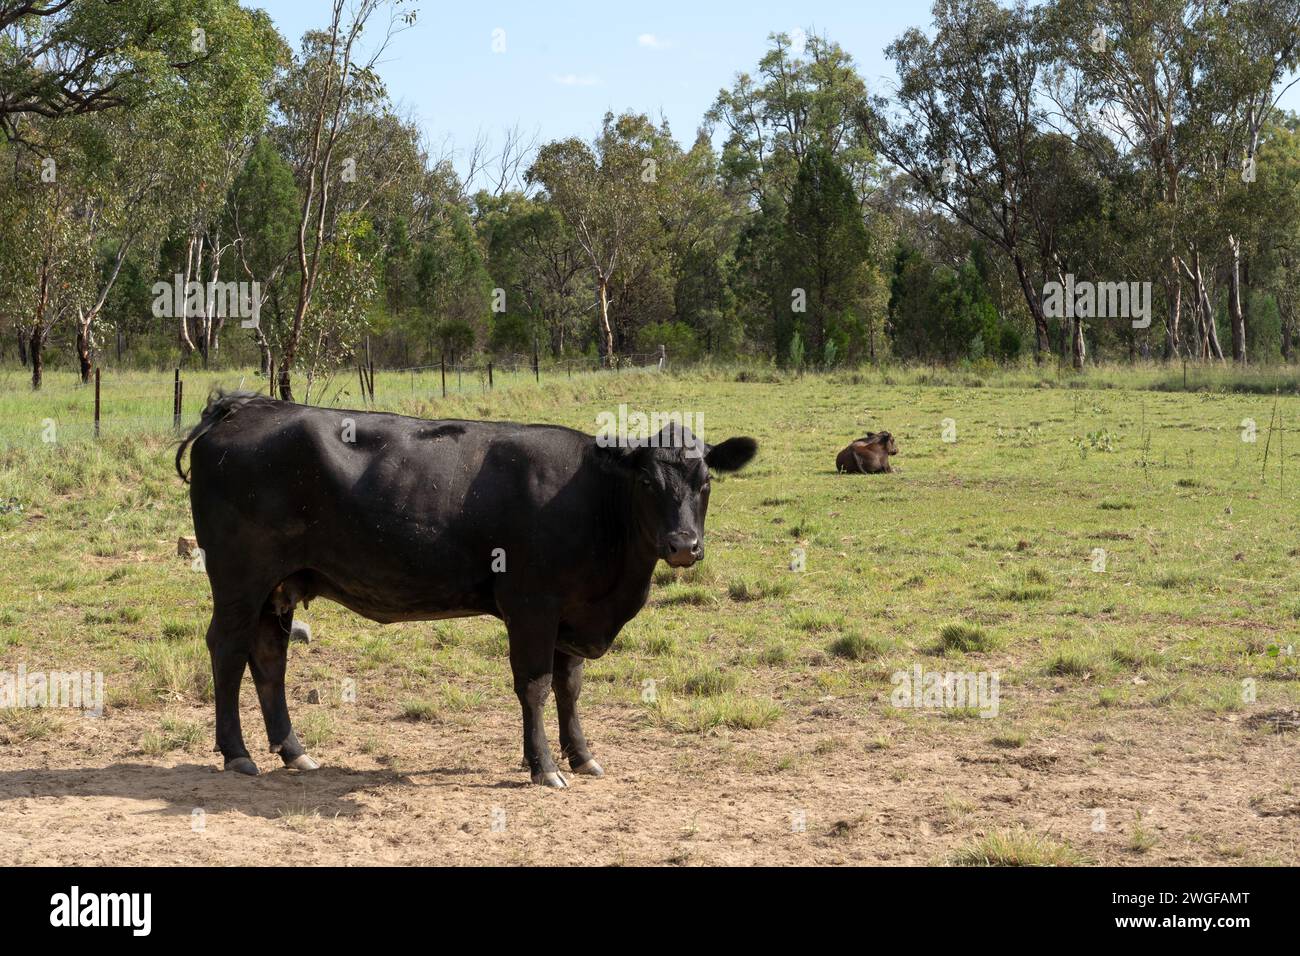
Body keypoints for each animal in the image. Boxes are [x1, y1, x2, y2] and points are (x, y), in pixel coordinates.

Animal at [176, 392, 757, 787]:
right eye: (647, 483)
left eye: (705, 482)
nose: (683, 545)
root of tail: (246, 406)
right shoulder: (531, 605)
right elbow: (535, 686)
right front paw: (544, 766)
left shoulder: (572, 612)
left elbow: (569, 687)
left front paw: (581, 755)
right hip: (239, 579)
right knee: (227, 650)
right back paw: (237, 752)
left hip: (279, 585)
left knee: (269, 657)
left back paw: (293, 750)